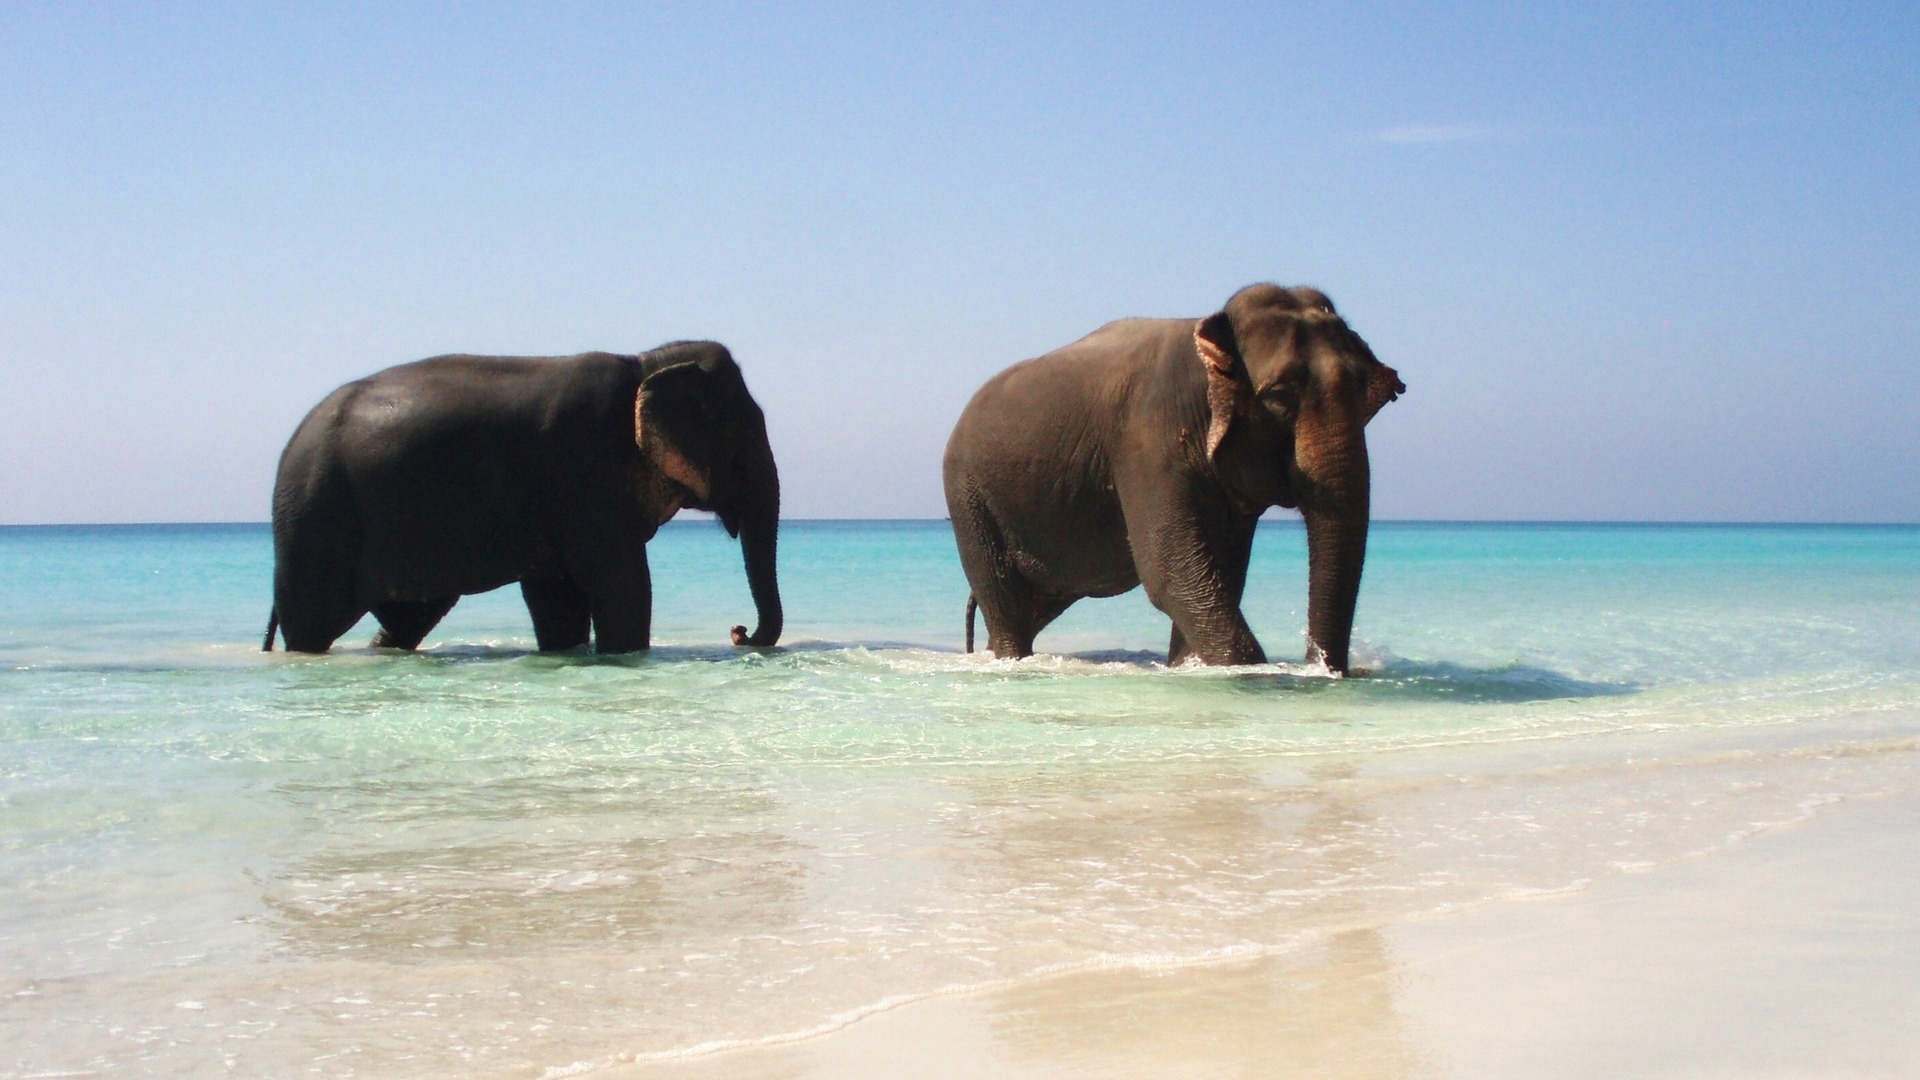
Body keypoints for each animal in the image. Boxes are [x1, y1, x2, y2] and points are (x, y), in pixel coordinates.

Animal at [262, 340, 781, 654]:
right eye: (743, 441)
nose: (738, 632)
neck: (644, 363)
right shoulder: (582, 473)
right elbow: (623, 585)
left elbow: (557, 596)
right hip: (315, 522)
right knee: (313, 623)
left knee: (410, 617)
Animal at [943, 284, 1403, 673]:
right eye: (1279, 396)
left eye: (1366, 393)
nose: (1321, 666)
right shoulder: (1146, 441)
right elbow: (1172, 572)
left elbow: (1219, 574)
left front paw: (1187, 667)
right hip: (968, 499)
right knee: (1005, 605)